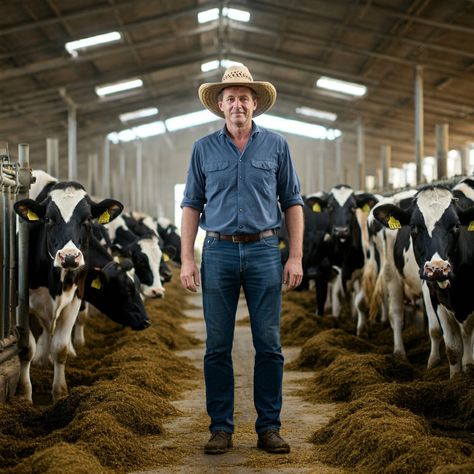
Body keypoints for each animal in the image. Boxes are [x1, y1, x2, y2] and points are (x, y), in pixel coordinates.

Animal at [14, 181, 123, 400]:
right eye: (48, 219)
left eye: (88, 219)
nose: (70, 257)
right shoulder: (22, 302)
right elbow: (27, 347)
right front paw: (24, 394)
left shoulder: (74, 299)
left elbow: (60, 348)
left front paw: (60, 392)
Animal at [374, 185, 474, 378]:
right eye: (413, 226)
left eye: (457, 225)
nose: (438, 268)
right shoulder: (434, 294)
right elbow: (451, 346)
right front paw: (456, 378)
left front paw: (467, 367)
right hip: (392, 273)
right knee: (396, 315)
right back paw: (401, 354)